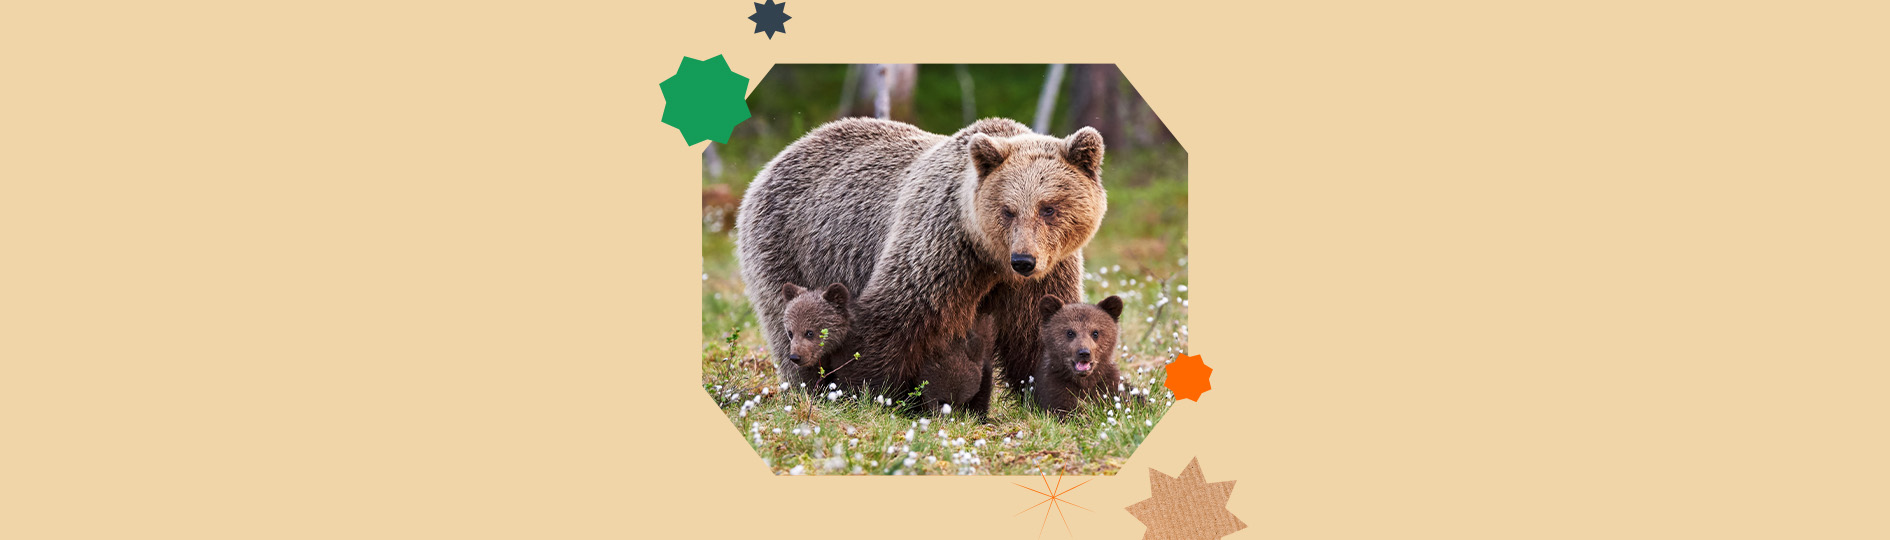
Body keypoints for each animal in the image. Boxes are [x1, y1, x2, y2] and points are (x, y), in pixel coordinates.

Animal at [737, 117, 1106, 398]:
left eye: (1049, 208)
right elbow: (894, 318)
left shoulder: (1046, 273)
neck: (989, 258)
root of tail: (781, 155)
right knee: (790, 319)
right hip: (789, 247)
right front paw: (868, 391)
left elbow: (1038, 331)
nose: (1024, 260)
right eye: (1007, 210)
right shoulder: (940, 247)